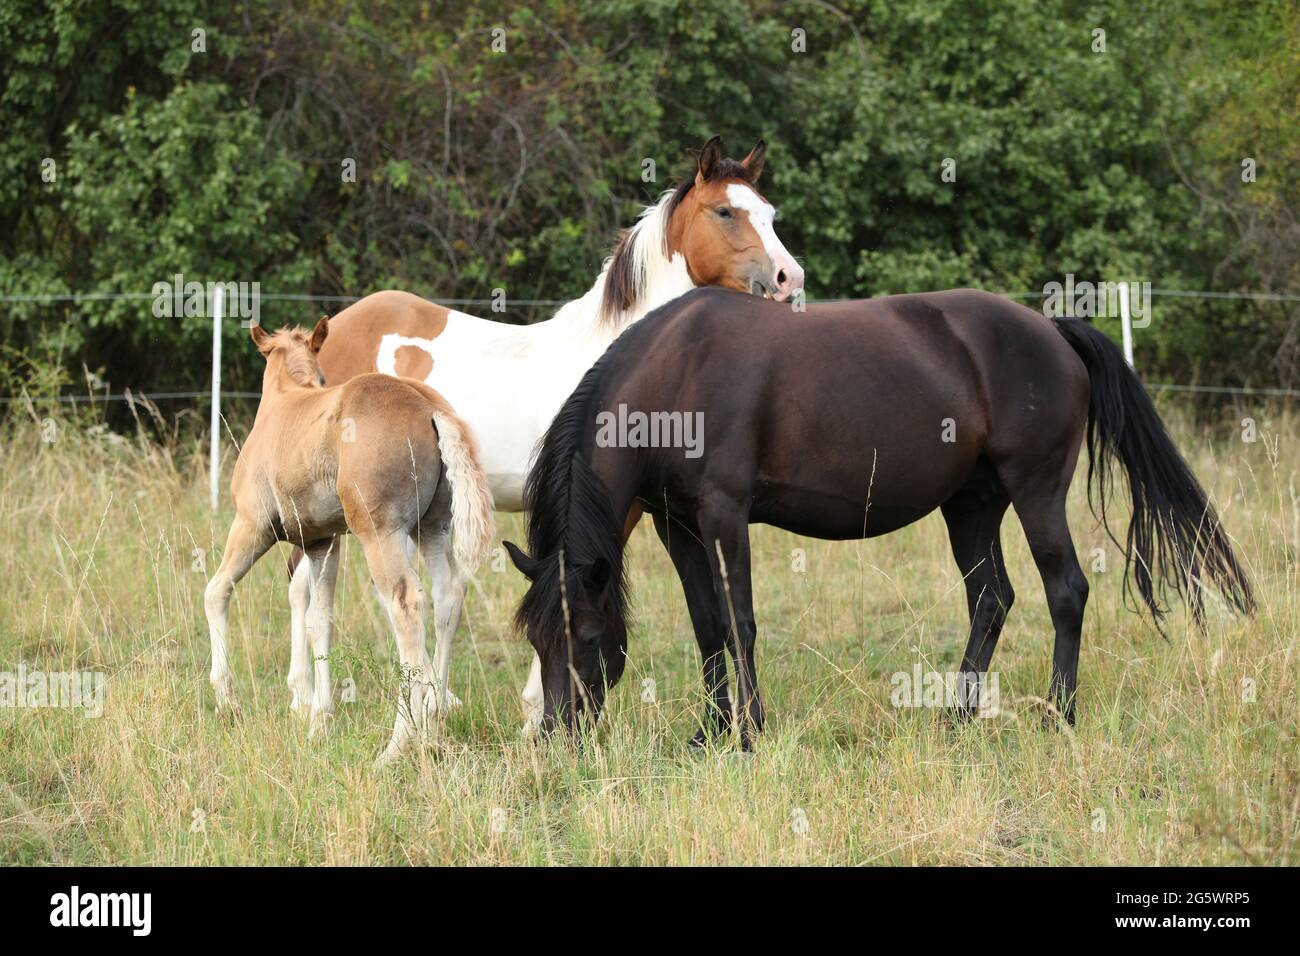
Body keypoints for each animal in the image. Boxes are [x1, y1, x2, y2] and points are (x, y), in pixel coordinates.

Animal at [203, 317, 494, 763]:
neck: (284, 401)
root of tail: (429, 408)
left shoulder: (251, 525)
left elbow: (216, 591)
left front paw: (227, 700)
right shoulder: (323, 542)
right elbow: (318, 619)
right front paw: (319, 721)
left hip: (380, 533)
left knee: (406, 603)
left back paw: (399, 742)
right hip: (433, 527)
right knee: (448, 595)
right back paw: (435, 722)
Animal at [287, 135, 804, 730]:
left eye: (769, 212)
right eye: (724, 212)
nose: (791, 280)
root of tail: (327, 334)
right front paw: (540, 709)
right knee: (308, 592)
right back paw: (310, 703)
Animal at [504, 287, 1255, 744]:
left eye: (589, 640)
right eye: (537, 642)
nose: (558, 736)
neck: (678, 375)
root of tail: (1052, 329)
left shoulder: (723, 514)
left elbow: (740, 622)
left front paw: (748, 732)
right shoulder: (677, 524)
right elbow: (708, 624)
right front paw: (710, 732)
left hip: (1036, 491)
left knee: (1065, 590)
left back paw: (1057, 716)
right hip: (972, 505)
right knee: (992, 599)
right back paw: (956, 719)